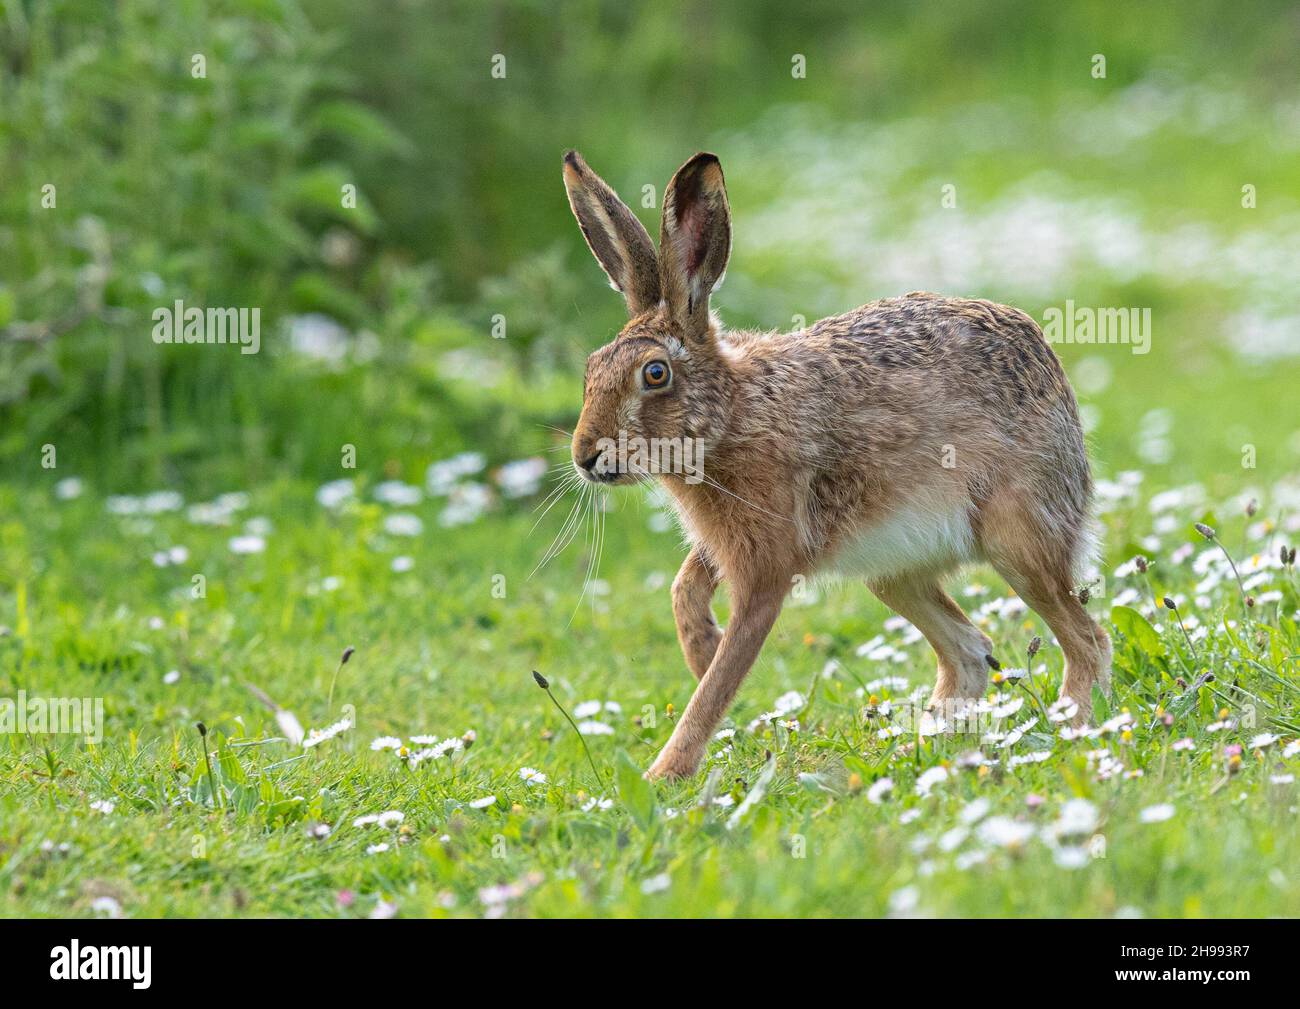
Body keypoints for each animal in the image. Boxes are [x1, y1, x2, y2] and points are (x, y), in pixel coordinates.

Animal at [562, 149, 1111, 780]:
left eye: (655, 374)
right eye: (591, 369)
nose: (585, 456)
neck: (733, 410)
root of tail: (1052, 369)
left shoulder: (766, 569)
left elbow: (720, 685)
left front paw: (665, 774)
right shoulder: (729, 540)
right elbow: (685, 586)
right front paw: (701, 647)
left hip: (1015, 537)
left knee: (1087, 638)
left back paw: (1073, 726)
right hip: (892, 569)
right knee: (971, 652)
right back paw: (922, 746)